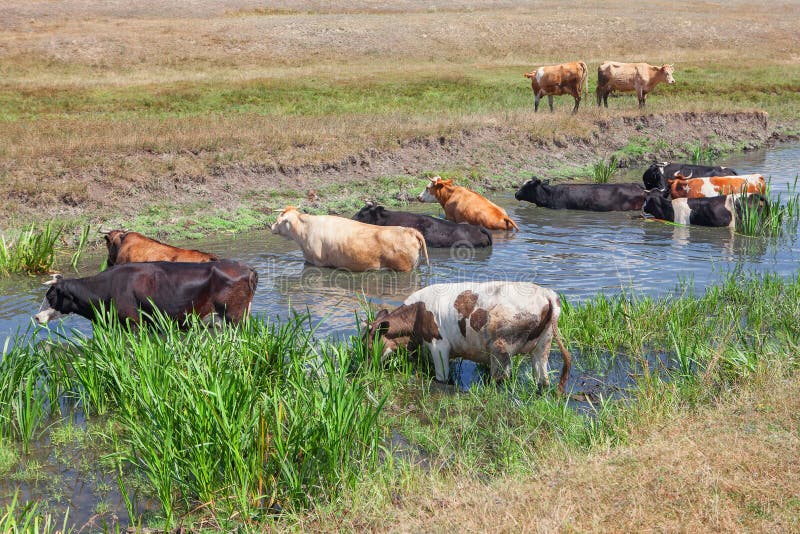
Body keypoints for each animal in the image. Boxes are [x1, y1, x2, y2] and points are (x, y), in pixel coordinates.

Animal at [366, 281, 572, 393]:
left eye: (368, 345)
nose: (364, 366)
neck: (417, 313)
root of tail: (546, 293)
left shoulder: (438, 345)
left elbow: (442, 378)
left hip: (501, 348)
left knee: (502, 378)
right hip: (543, 345)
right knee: (542, 378)